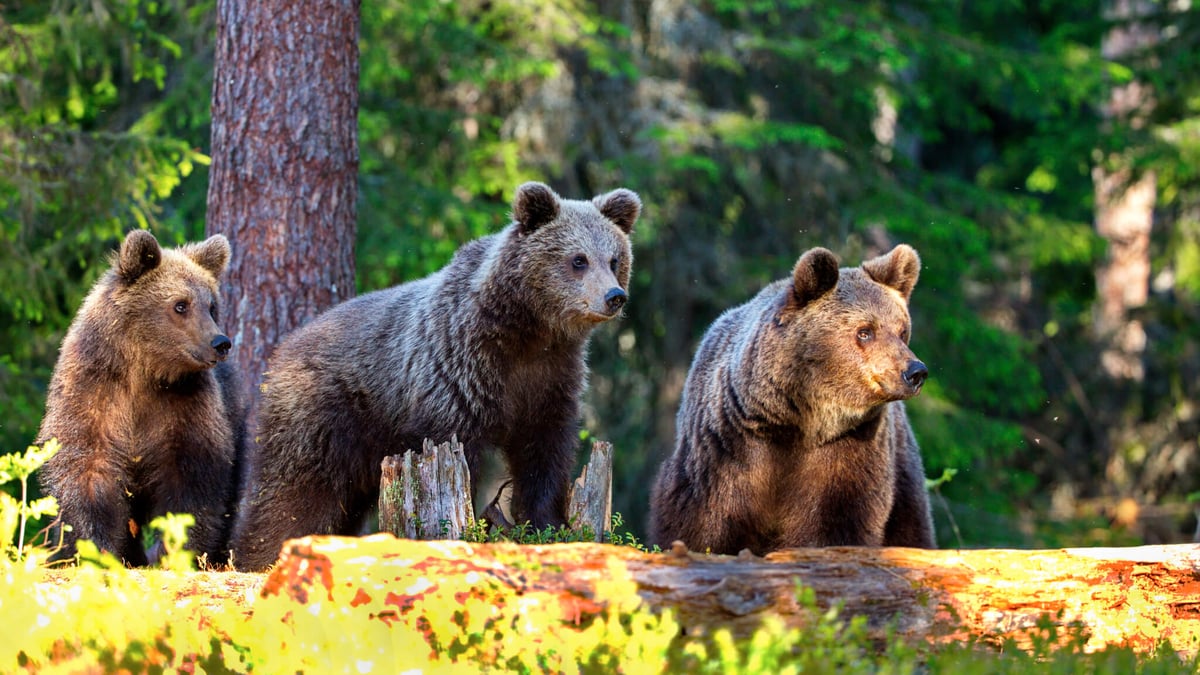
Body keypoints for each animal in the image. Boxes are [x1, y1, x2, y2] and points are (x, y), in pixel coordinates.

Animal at [36, 229, 245, 567]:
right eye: (180, 305)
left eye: (211, 306)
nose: (220, 342)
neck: (144, 371)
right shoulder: (94, 393)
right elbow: (86, 466)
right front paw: (95, 548)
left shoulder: (183, 404)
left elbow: (192, 477)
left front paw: (178, 549)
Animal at [229, 181, 641, 571]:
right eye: (578, 260)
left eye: (614, 258)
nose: (614, 296)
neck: (526, 332)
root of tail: (282, 350)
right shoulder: (458, 373)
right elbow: (460, 449)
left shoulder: (551, 379)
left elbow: (544, 452)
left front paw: (546, 525)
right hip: (324, 418)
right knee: (293, 492)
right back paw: (261, 556)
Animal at [648, 244, 935, 555]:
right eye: (865, 331)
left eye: (902, 331)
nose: (915, 372)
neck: (797, 421)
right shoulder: (727, 449)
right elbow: (703, 520)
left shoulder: (849, 450)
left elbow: (837, 522)